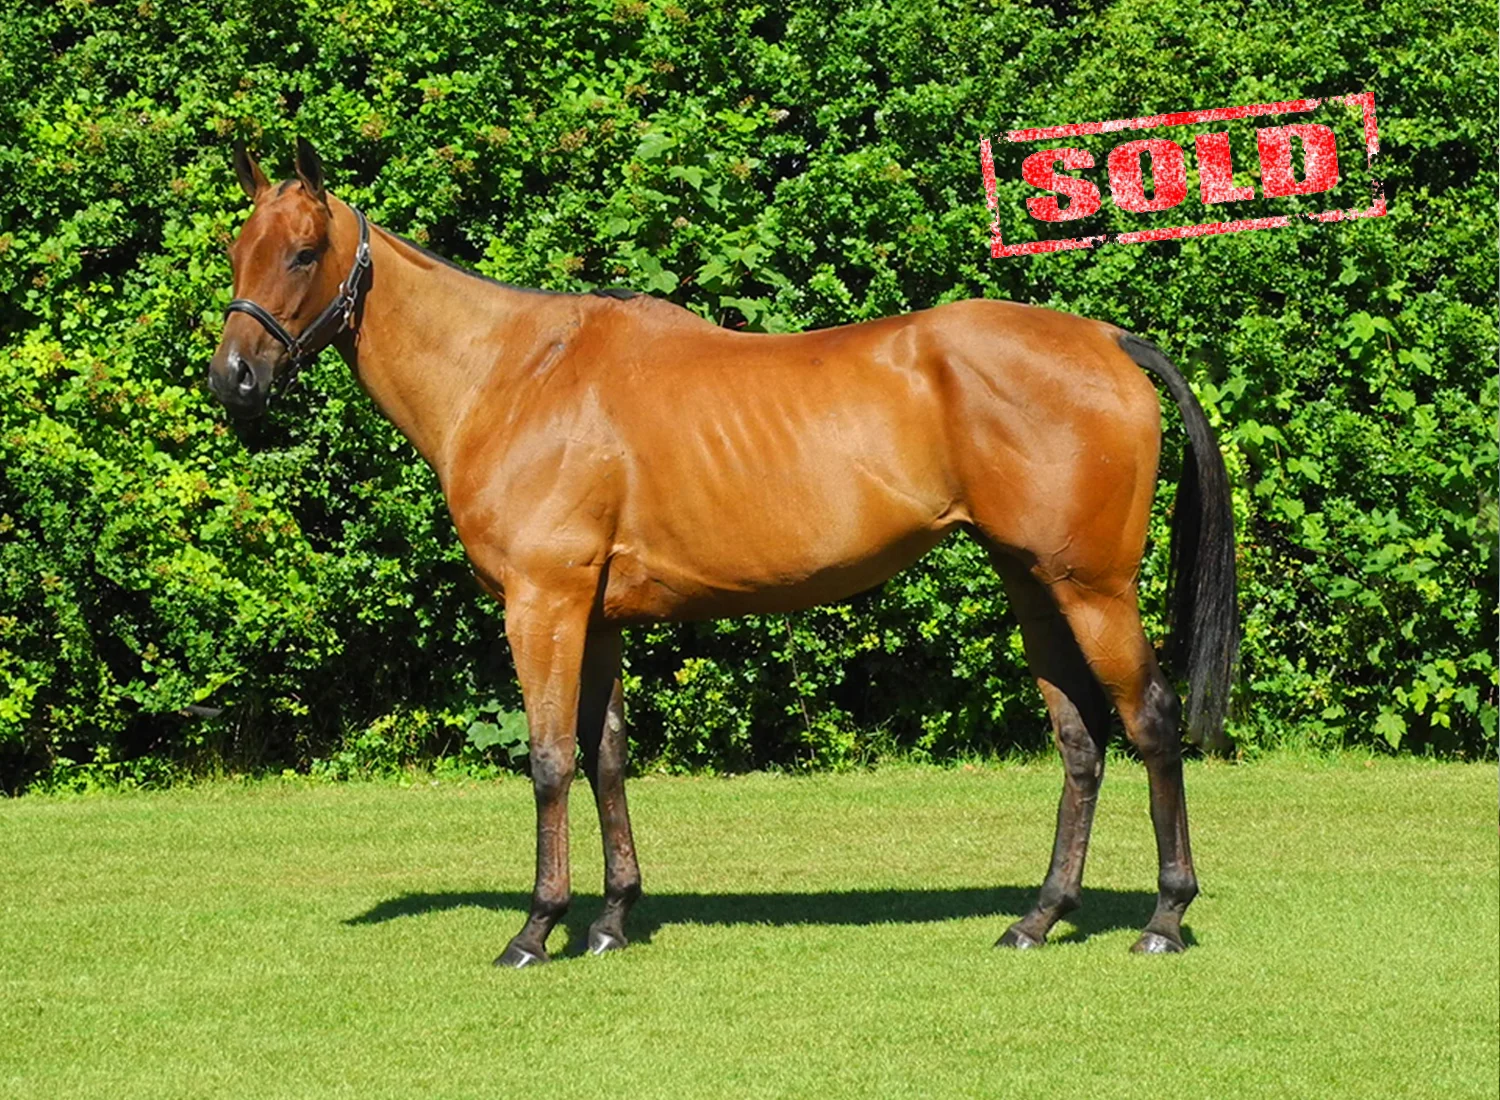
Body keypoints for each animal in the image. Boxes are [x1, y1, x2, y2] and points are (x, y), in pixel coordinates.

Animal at [209, 138, 1237, 967]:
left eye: (304, 252)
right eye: (234, 250)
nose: (234, 379)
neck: (516, 374)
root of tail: (1107, 339)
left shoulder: (542, 603)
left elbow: (549, 760)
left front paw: (537, 929)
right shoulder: (598, 616)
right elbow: (606, 757)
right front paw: (613, 920)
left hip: (1092, 589)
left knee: (1148, 722)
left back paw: (1164, 917)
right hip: (1034, 586)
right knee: (1080, 741)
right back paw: (1039, 917)